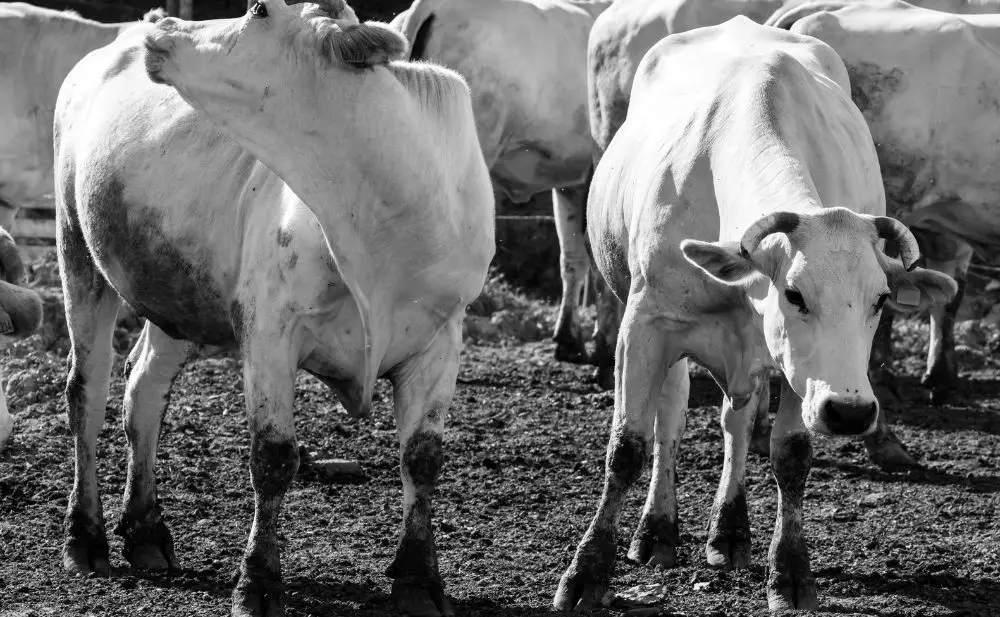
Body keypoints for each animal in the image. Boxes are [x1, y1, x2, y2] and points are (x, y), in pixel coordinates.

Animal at [54, 0, 494, 615]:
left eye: (259, 9)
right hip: (77, 250)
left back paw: (145, 531)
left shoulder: (443, 337)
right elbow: (274, 457)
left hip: (178, 296)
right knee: (87, 393)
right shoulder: (268, 330)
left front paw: (420, 580)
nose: (163, 24)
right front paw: (257, 582)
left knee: (143, 389)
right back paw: (85, 536)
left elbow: (422, 458)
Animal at [555, 17, 956, 612]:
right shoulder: (644, 327)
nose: (851, 413)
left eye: (881, 300)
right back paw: (657, 530)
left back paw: (728, 532)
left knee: (737, 425)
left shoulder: (796, 370)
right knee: (671, 418)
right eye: (794, 294)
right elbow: (628, 445)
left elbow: (789, 454)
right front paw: (586, 573)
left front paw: (789, 573)